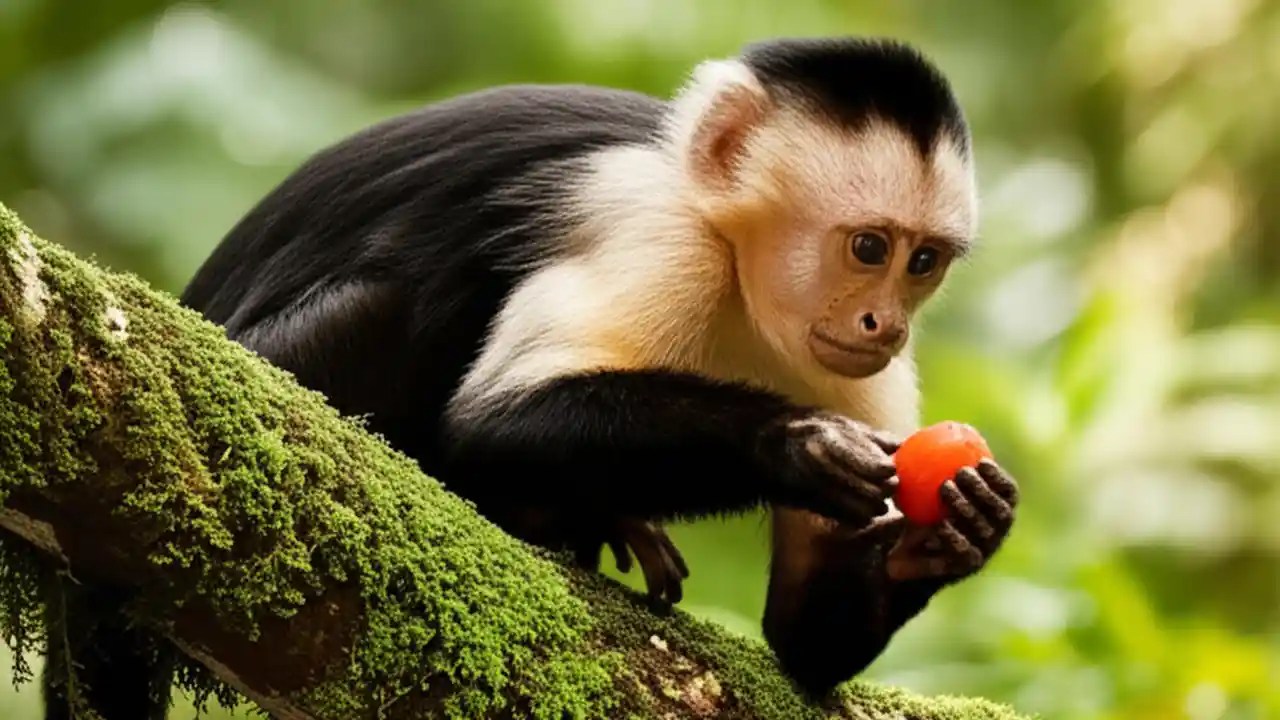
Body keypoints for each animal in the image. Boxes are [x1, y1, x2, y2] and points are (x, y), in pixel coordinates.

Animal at [38, 36, 1020, 719]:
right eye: (868, 248)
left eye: (923, 262)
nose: (885, 322)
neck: (739, 274)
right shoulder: (654, 233)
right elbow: (490, 424)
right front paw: (794, 444)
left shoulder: (865, 374)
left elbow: (802, 642)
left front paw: (951, 533)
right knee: (390, 306)